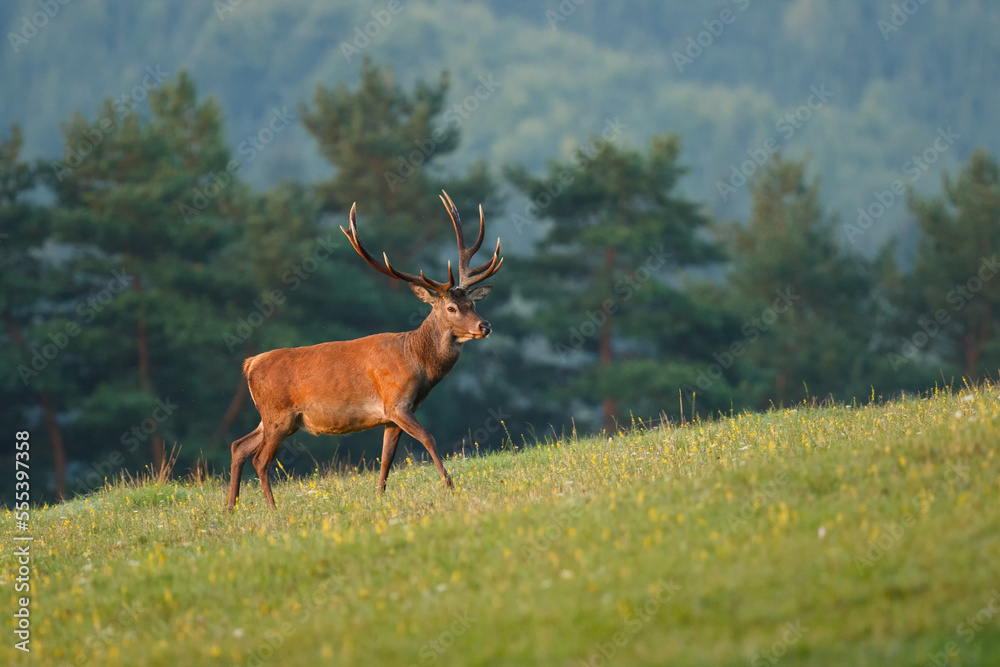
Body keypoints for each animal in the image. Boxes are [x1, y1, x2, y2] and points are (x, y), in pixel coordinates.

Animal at [227, 191, 503, 510]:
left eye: (473, 303)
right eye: (451, 308)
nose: (485, 325)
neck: (418, 363)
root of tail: (250, 363)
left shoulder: (394, 414)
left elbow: (387, 457)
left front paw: (380, 495)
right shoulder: (396, 401)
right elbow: (429, 438)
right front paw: (449, 485)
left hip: (274, 418)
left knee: (239, 446)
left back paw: (230, 508)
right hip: (278, 414)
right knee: (260, 459)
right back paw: (272, 509)